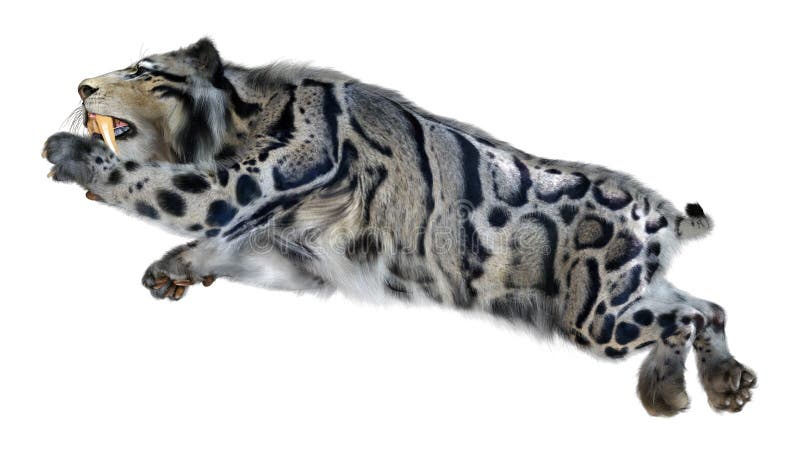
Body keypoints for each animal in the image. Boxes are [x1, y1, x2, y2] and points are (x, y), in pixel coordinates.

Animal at [42, 38, 756, 416]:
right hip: (627, 295)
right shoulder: (298, 259)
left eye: (142, 71)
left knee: (690, 314)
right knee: (709, 306)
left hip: (596, 314)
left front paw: (74, 154)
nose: (80, 86)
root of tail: (661, 212)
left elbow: (154, 184)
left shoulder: (248, 185)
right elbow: (227, 246)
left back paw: (677, 390)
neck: (245, 115)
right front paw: (178, 268)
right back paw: (715, 387)